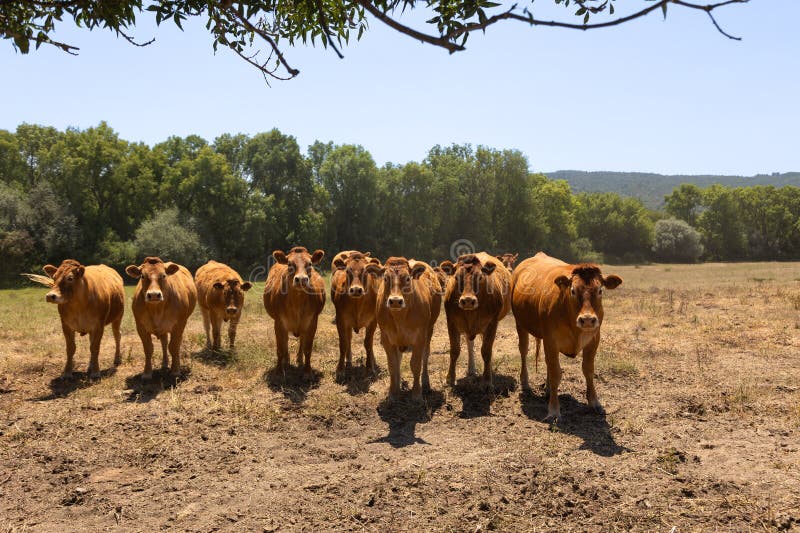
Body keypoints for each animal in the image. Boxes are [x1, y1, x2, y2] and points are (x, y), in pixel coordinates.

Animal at [263, 246, 325, 375]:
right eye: (289, 264)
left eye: (309, 264)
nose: (301, 279)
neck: (297, 301)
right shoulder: (279, 322)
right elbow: (280, 349)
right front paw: (279, 371)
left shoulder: (312, 322)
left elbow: (308, 348)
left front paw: (307, 371)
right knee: (286, 341)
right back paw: (286, 360)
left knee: (301, 340)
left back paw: (299, 359)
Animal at [330, 251, 381, 379]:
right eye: (348, 271)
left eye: (366, 271)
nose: (356, 290)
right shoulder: (341, 320)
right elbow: (343, 343)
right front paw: (340, 370)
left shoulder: (373, 321)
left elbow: (368, 343)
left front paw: (370, 368)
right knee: (348, 338)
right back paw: (348, 359)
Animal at [367, 257, 441, 400]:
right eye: (385, 278)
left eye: (407, 278)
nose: (395, 301)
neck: (400, 318)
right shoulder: (387, 338)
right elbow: (392, 365)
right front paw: (393, 392)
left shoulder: (420, 338)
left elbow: (416, 364)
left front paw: (416, 393)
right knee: (399, 359)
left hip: (429, 331)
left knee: (426, 356)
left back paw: (426, 383)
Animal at [439, 252, 511, 388]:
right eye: (456, 277)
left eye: (480, 277)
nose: (468, 300)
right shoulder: (451, 321)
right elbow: (454, 350)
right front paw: (450, 378)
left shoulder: (492, 323)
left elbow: (486, 351)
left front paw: (487, 380)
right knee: (469, 343)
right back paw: (471, 369)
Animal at [511, 252, 622, 420]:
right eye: (573, 291)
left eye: (600, 290)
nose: (587, 319)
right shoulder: (551, 340)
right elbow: (556, 373)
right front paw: (553, 409)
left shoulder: (593, 340)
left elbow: (588, 370)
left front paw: (594, 402)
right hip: (520, 325)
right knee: (523, 351)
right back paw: (525, 383)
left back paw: (548, 389)